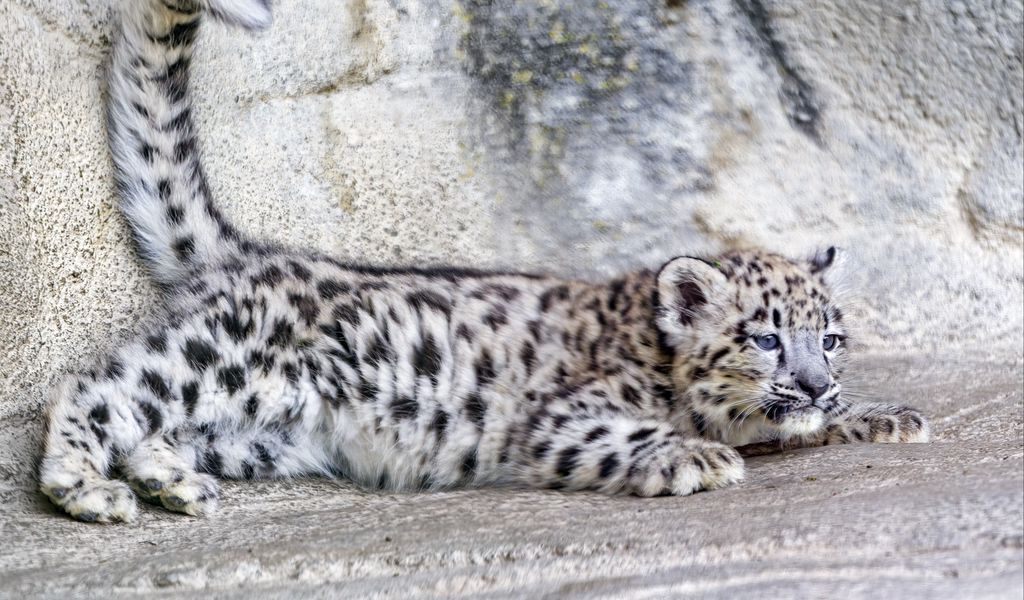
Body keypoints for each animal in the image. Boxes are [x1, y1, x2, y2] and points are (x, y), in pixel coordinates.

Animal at [38, 0, 929, 523]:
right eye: (766, 339)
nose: (815, 383)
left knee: (163, 430)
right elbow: (636, 434)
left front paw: (882, 413)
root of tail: (252, 253)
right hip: (211, 361)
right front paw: (693, 456)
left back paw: (172, 482)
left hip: (263, 433)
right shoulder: (566, 418)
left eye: (831, 339)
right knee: (96, 390)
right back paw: (88, 490)